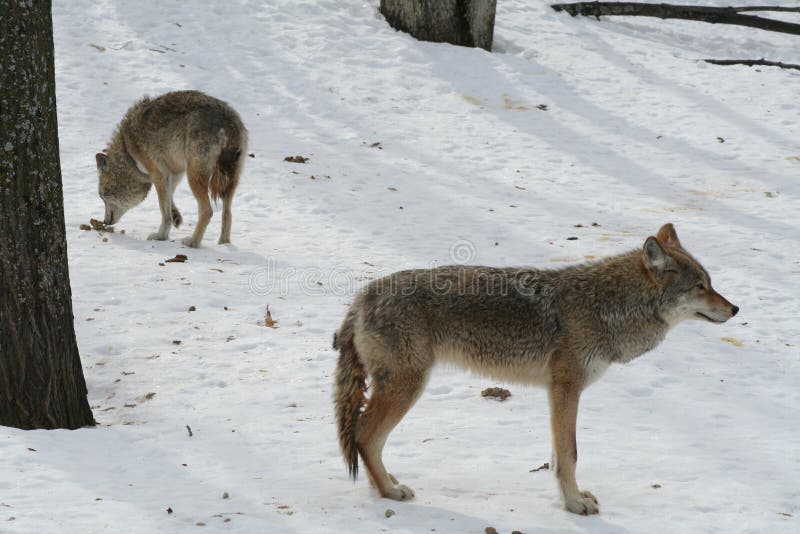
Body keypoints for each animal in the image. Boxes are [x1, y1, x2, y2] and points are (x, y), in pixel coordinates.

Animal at [95, 90, 247, 247]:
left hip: (194, 177)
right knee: (227, 213)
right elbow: (170, 198)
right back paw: (224, 243)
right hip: (230, 182)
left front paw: (161, 236)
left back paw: (192, 242)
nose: (105, 222)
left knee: (207, 211)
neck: (128, 151)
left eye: (102, 196)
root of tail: (227, 122)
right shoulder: (175, 172)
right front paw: (176, 217)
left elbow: (164, 212)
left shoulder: (158, 174)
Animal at [334, 224, 738, 514]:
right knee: (365, 434)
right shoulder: (567, 388)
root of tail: (362, 296)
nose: (735, 309)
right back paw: (389, 490)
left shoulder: (556, 392)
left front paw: (568, 498)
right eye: (700, 286)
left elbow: (558, 454)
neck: (608, 306)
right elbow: (570, 454)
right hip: (408, 387)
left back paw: (383, 484)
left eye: (710, 283)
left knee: (364, 437)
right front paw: (574, 505)